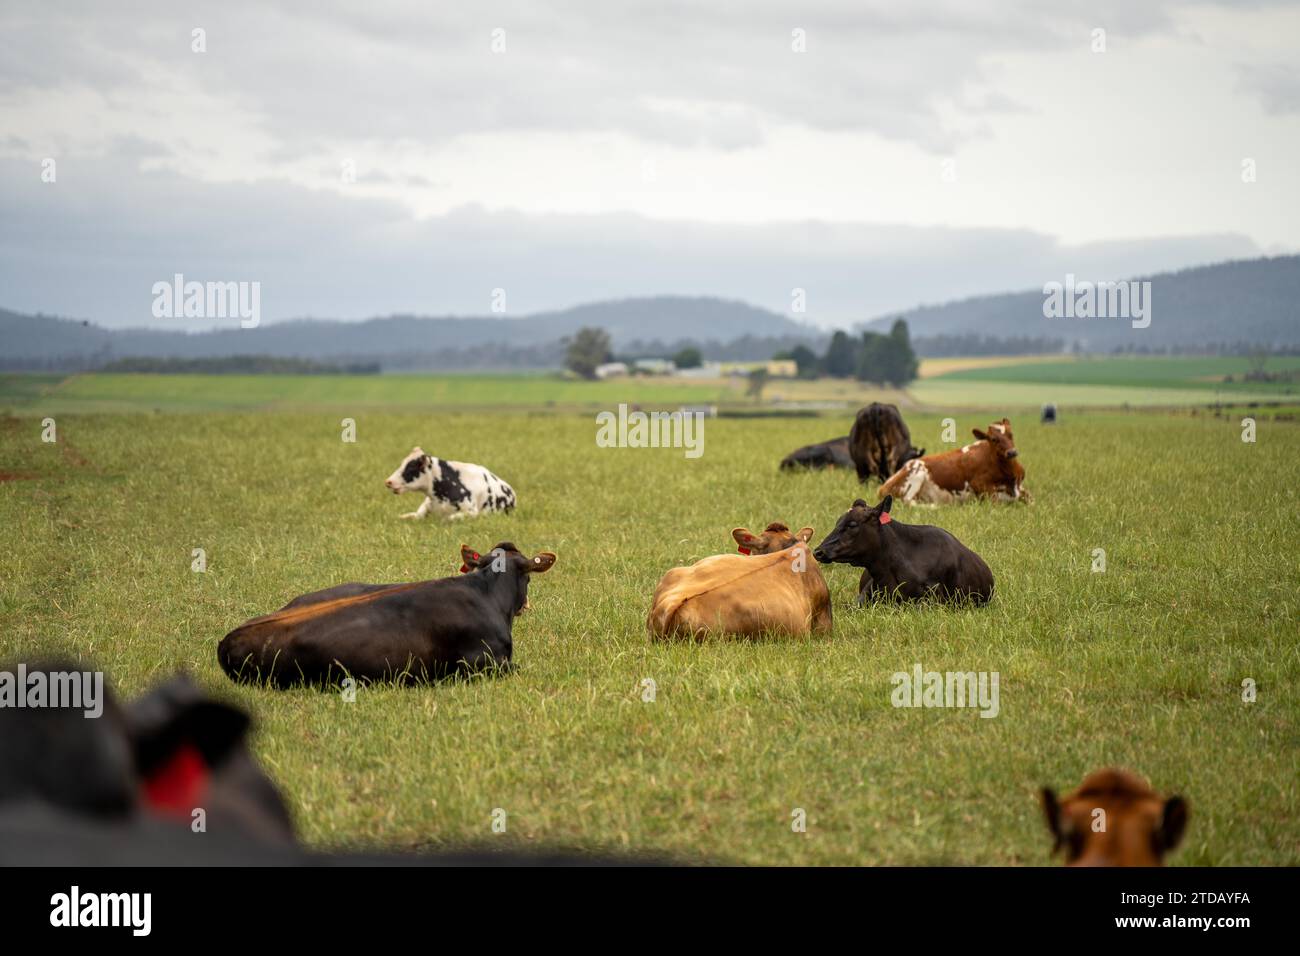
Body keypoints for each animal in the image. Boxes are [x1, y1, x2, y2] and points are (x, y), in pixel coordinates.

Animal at [385, 446, 517, 520]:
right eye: (402, 463)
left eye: (411, 468)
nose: (388, 481)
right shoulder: (423, 511)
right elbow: (411, 516)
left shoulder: (472, 512)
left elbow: (450, 518)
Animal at [878, 417, 1029, 505]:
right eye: (994, 439)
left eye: (1011, 434)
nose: (1012, 452)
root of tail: (883, 487)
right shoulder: (980, 485)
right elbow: (995, 501)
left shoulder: (1021, 488)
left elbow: (1030, 499)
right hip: (917, 474)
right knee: (908, 502)